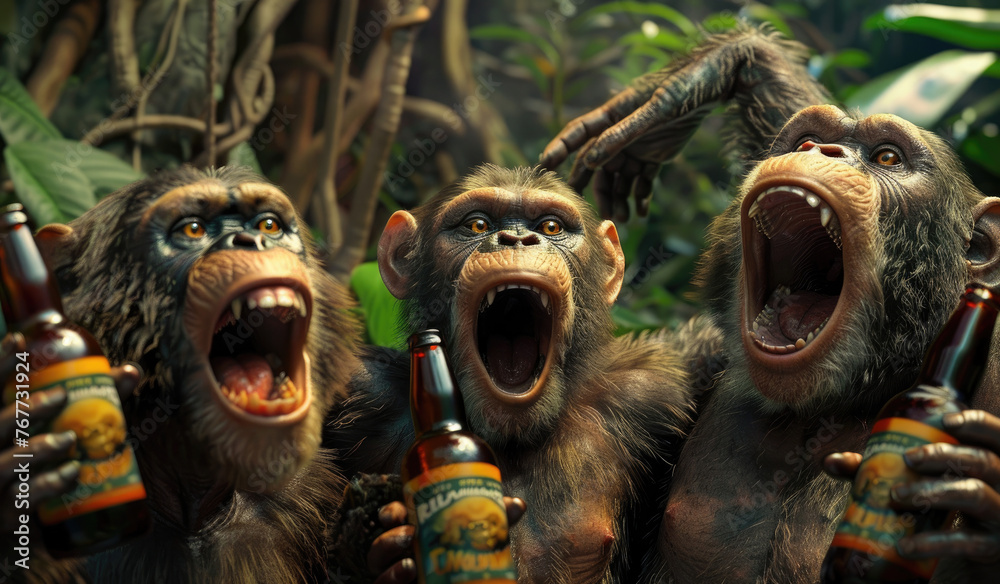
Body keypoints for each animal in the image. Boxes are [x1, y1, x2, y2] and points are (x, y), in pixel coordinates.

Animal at [328, 163, 726, 584]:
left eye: (551, 227)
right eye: (477, 225)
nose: (518, 239)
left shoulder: (655, 385)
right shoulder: (362, 389)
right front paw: (380, 539)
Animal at [540, 24, 1000, 583]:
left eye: (888, 158)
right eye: (802, 141)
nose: (822, 148)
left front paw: (975, 491)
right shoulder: (696, 359)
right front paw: (692, 82)